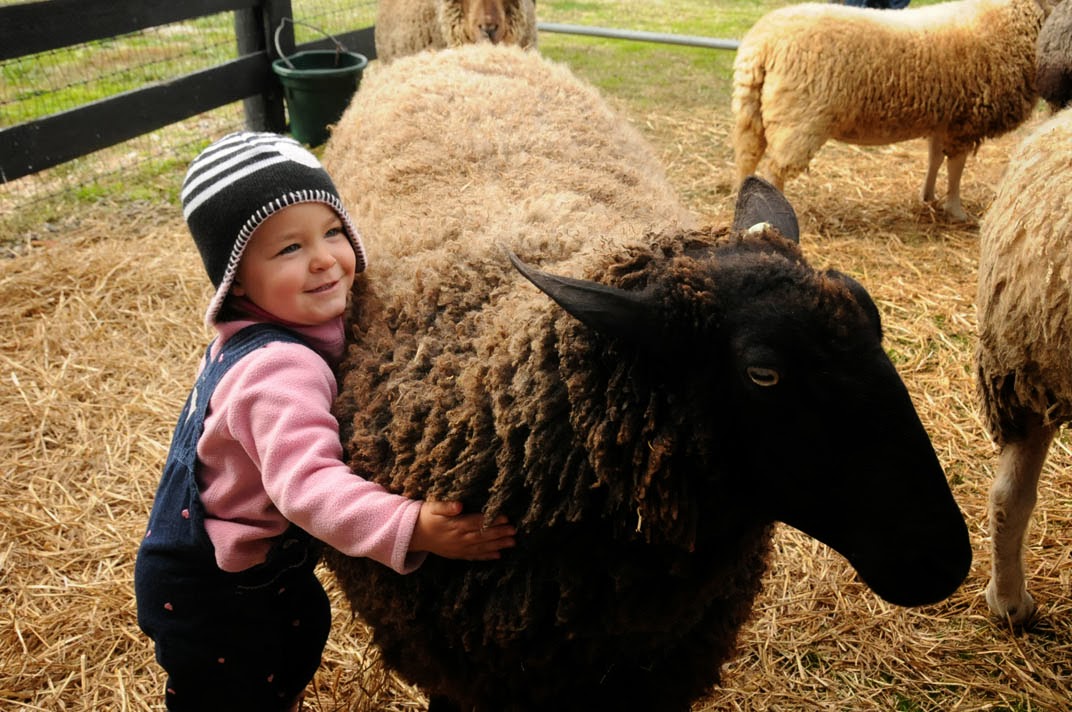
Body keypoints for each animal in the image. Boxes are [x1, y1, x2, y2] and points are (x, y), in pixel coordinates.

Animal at [732, 0, 1054, 221]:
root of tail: (761, 44)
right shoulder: (965, 121)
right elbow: (956, 168)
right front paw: (956, 210)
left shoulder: (944, 118)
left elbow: (935, 158)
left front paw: (928, 197)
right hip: (798, 121)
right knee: (775, 171)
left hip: (752, 114)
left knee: (747, 163)